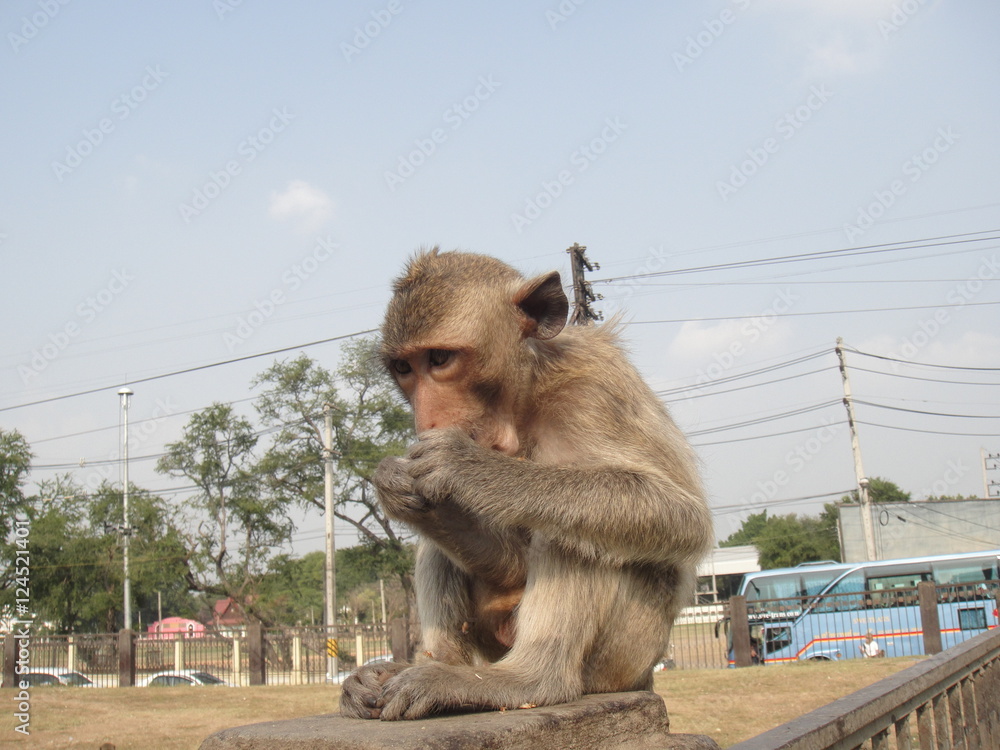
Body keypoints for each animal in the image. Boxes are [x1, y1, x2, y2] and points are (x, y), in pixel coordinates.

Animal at [339, 249, 712, 721]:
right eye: (404, 367)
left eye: (440, 358)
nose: (426, 423)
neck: (523, 399)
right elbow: (509, 561)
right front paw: (398, 486)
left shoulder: (594, 390)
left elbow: (681, 515)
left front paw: (469, 468)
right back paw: (437, 663)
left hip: (627, 653)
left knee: (579, 534)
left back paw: (526, 680)